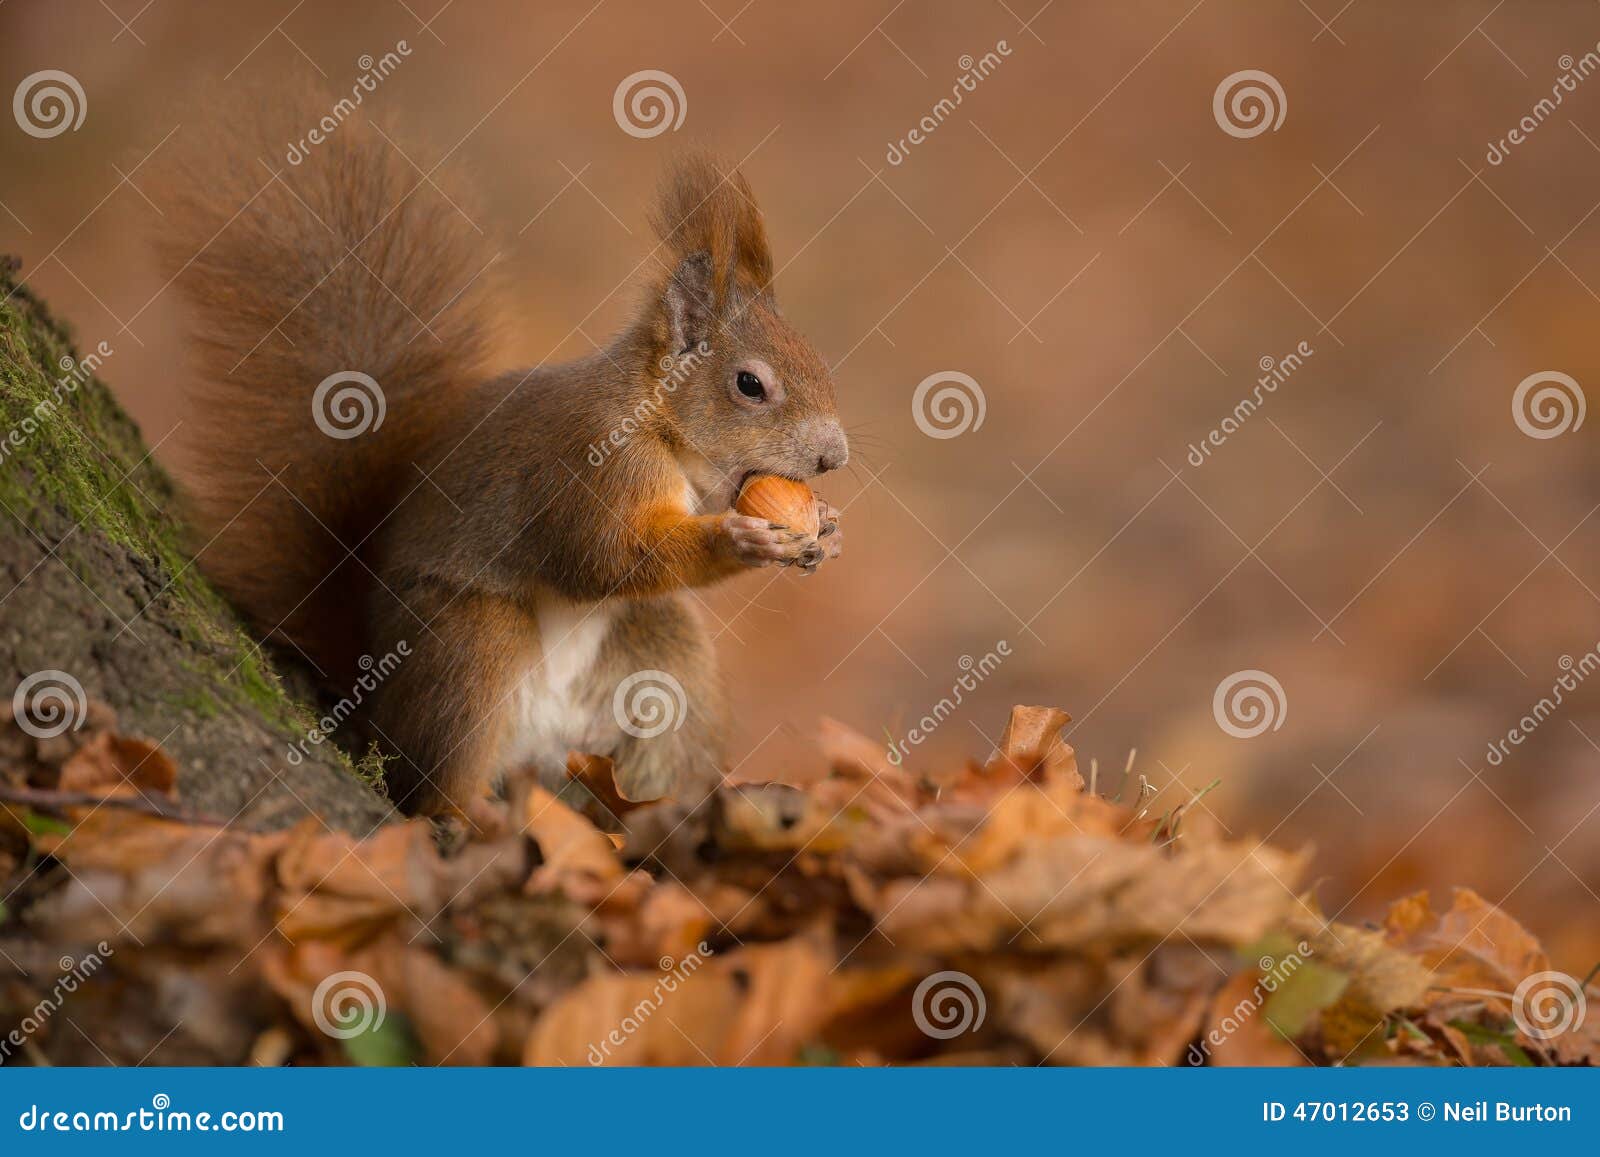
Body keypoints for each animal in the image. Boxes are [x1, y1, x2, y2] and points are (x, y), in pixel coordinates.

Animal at [154, 96, 846, 816]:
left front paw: (825, 529)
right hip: (473, 642)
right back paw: (475, 818)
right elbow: (607, 556)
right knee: (435, 781)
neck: (655, 427)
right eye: (750, 385)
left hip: (663, 657)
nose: (835, 457)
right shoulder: (589, 467)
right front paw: (741, 539)